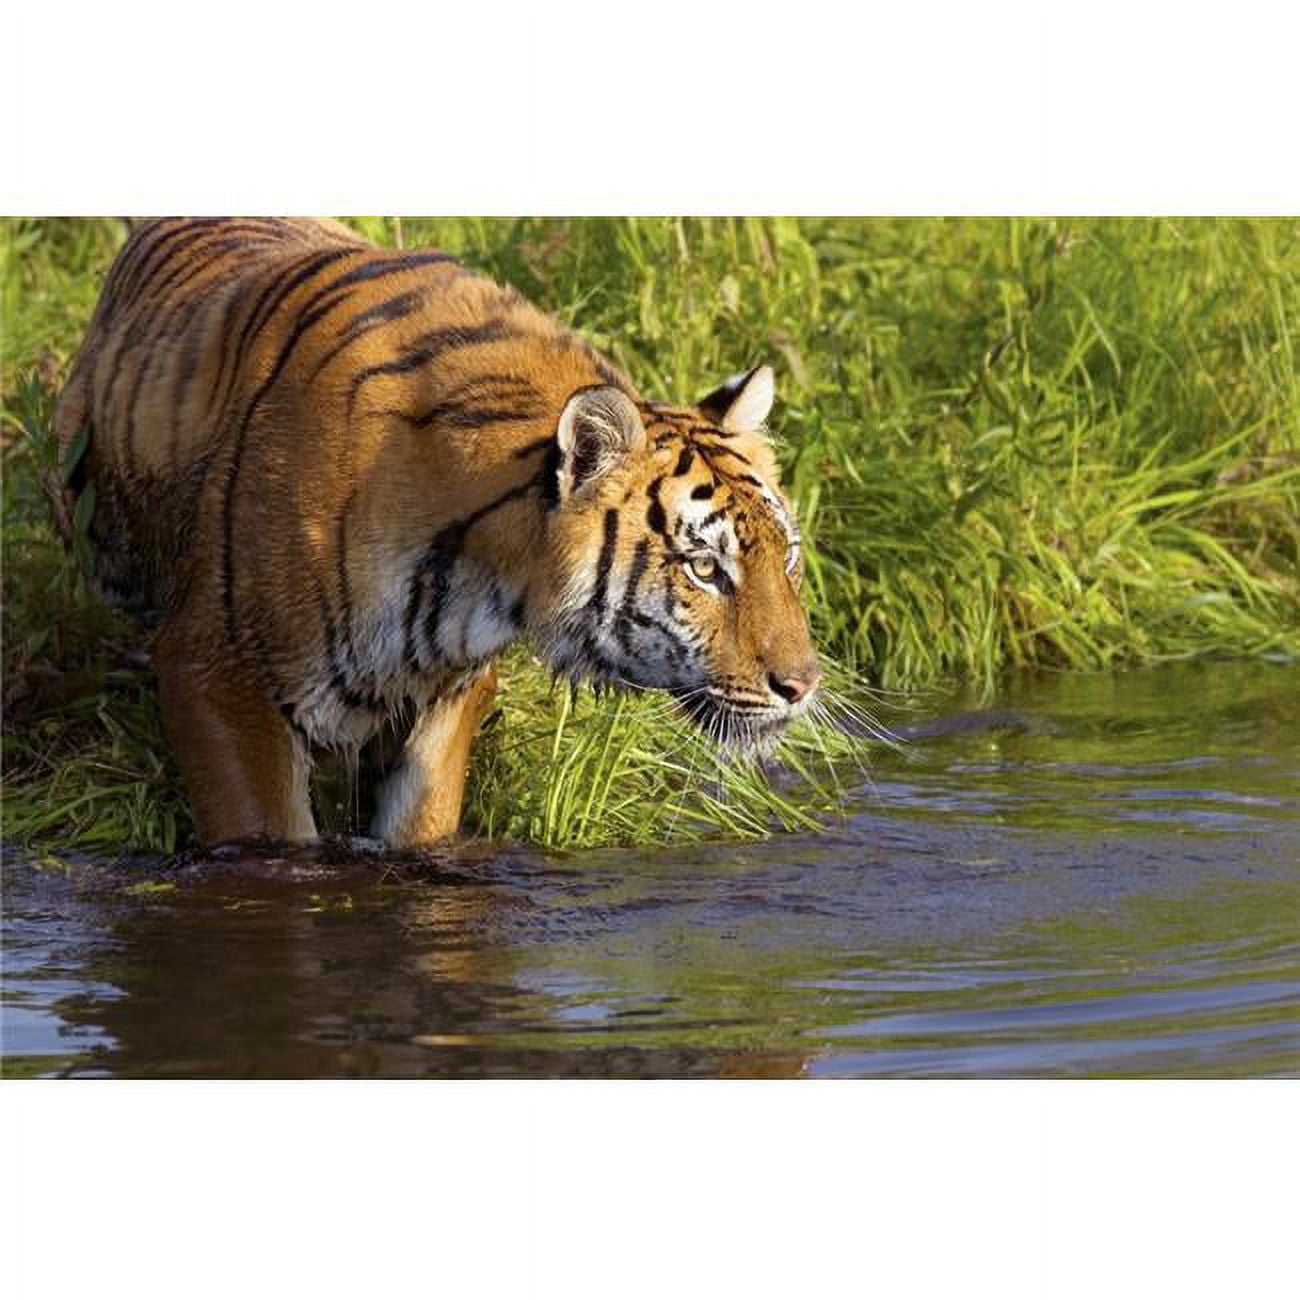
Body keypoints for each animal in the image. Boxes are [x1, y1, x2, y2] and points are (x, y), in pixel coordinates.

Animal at [54, 217, 821, 848]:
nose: (804, 685)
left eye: (787, 558)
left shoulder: (449, 695)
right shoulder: (216, 672)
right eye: (703, 568)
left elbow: (422, 824)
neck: (480, 581)